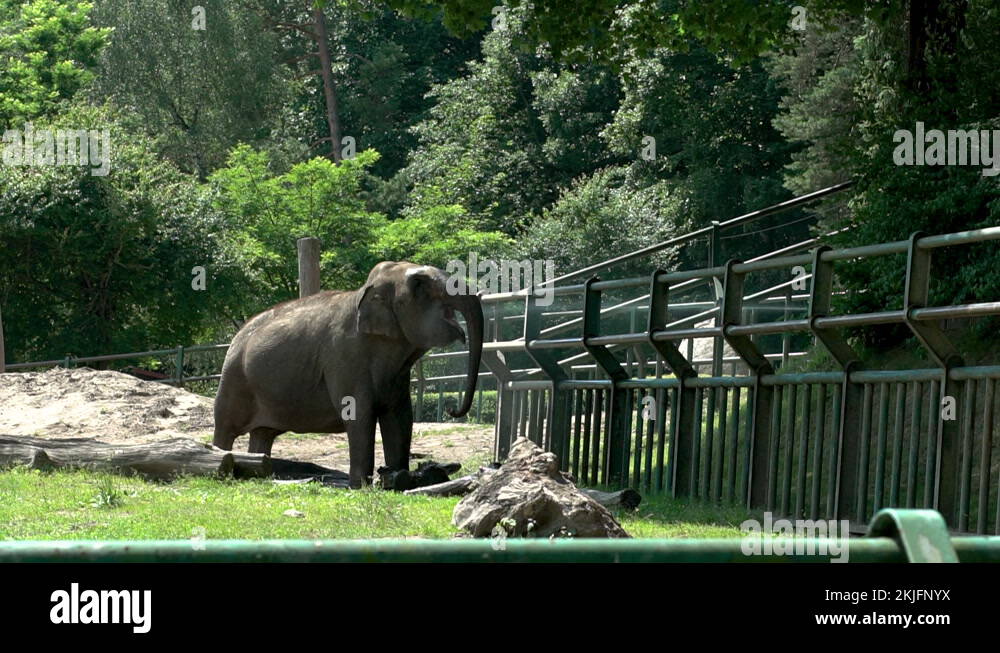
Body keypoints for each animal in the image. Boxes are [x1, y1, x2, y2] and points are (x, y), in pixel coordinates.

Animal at [212, 261, 484, 488]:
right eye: (419, 283)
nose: (452, 409)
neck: (363, 292)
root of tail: (235, 338)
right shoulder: (344, 358)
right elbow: (358, 415)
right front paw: (361, 485)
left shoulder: (397, 375)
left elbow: (400, 417)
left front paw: (399, 477)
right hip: (234, 380)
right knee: (226, 427)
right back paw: (218, 460)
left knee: (262, 435)